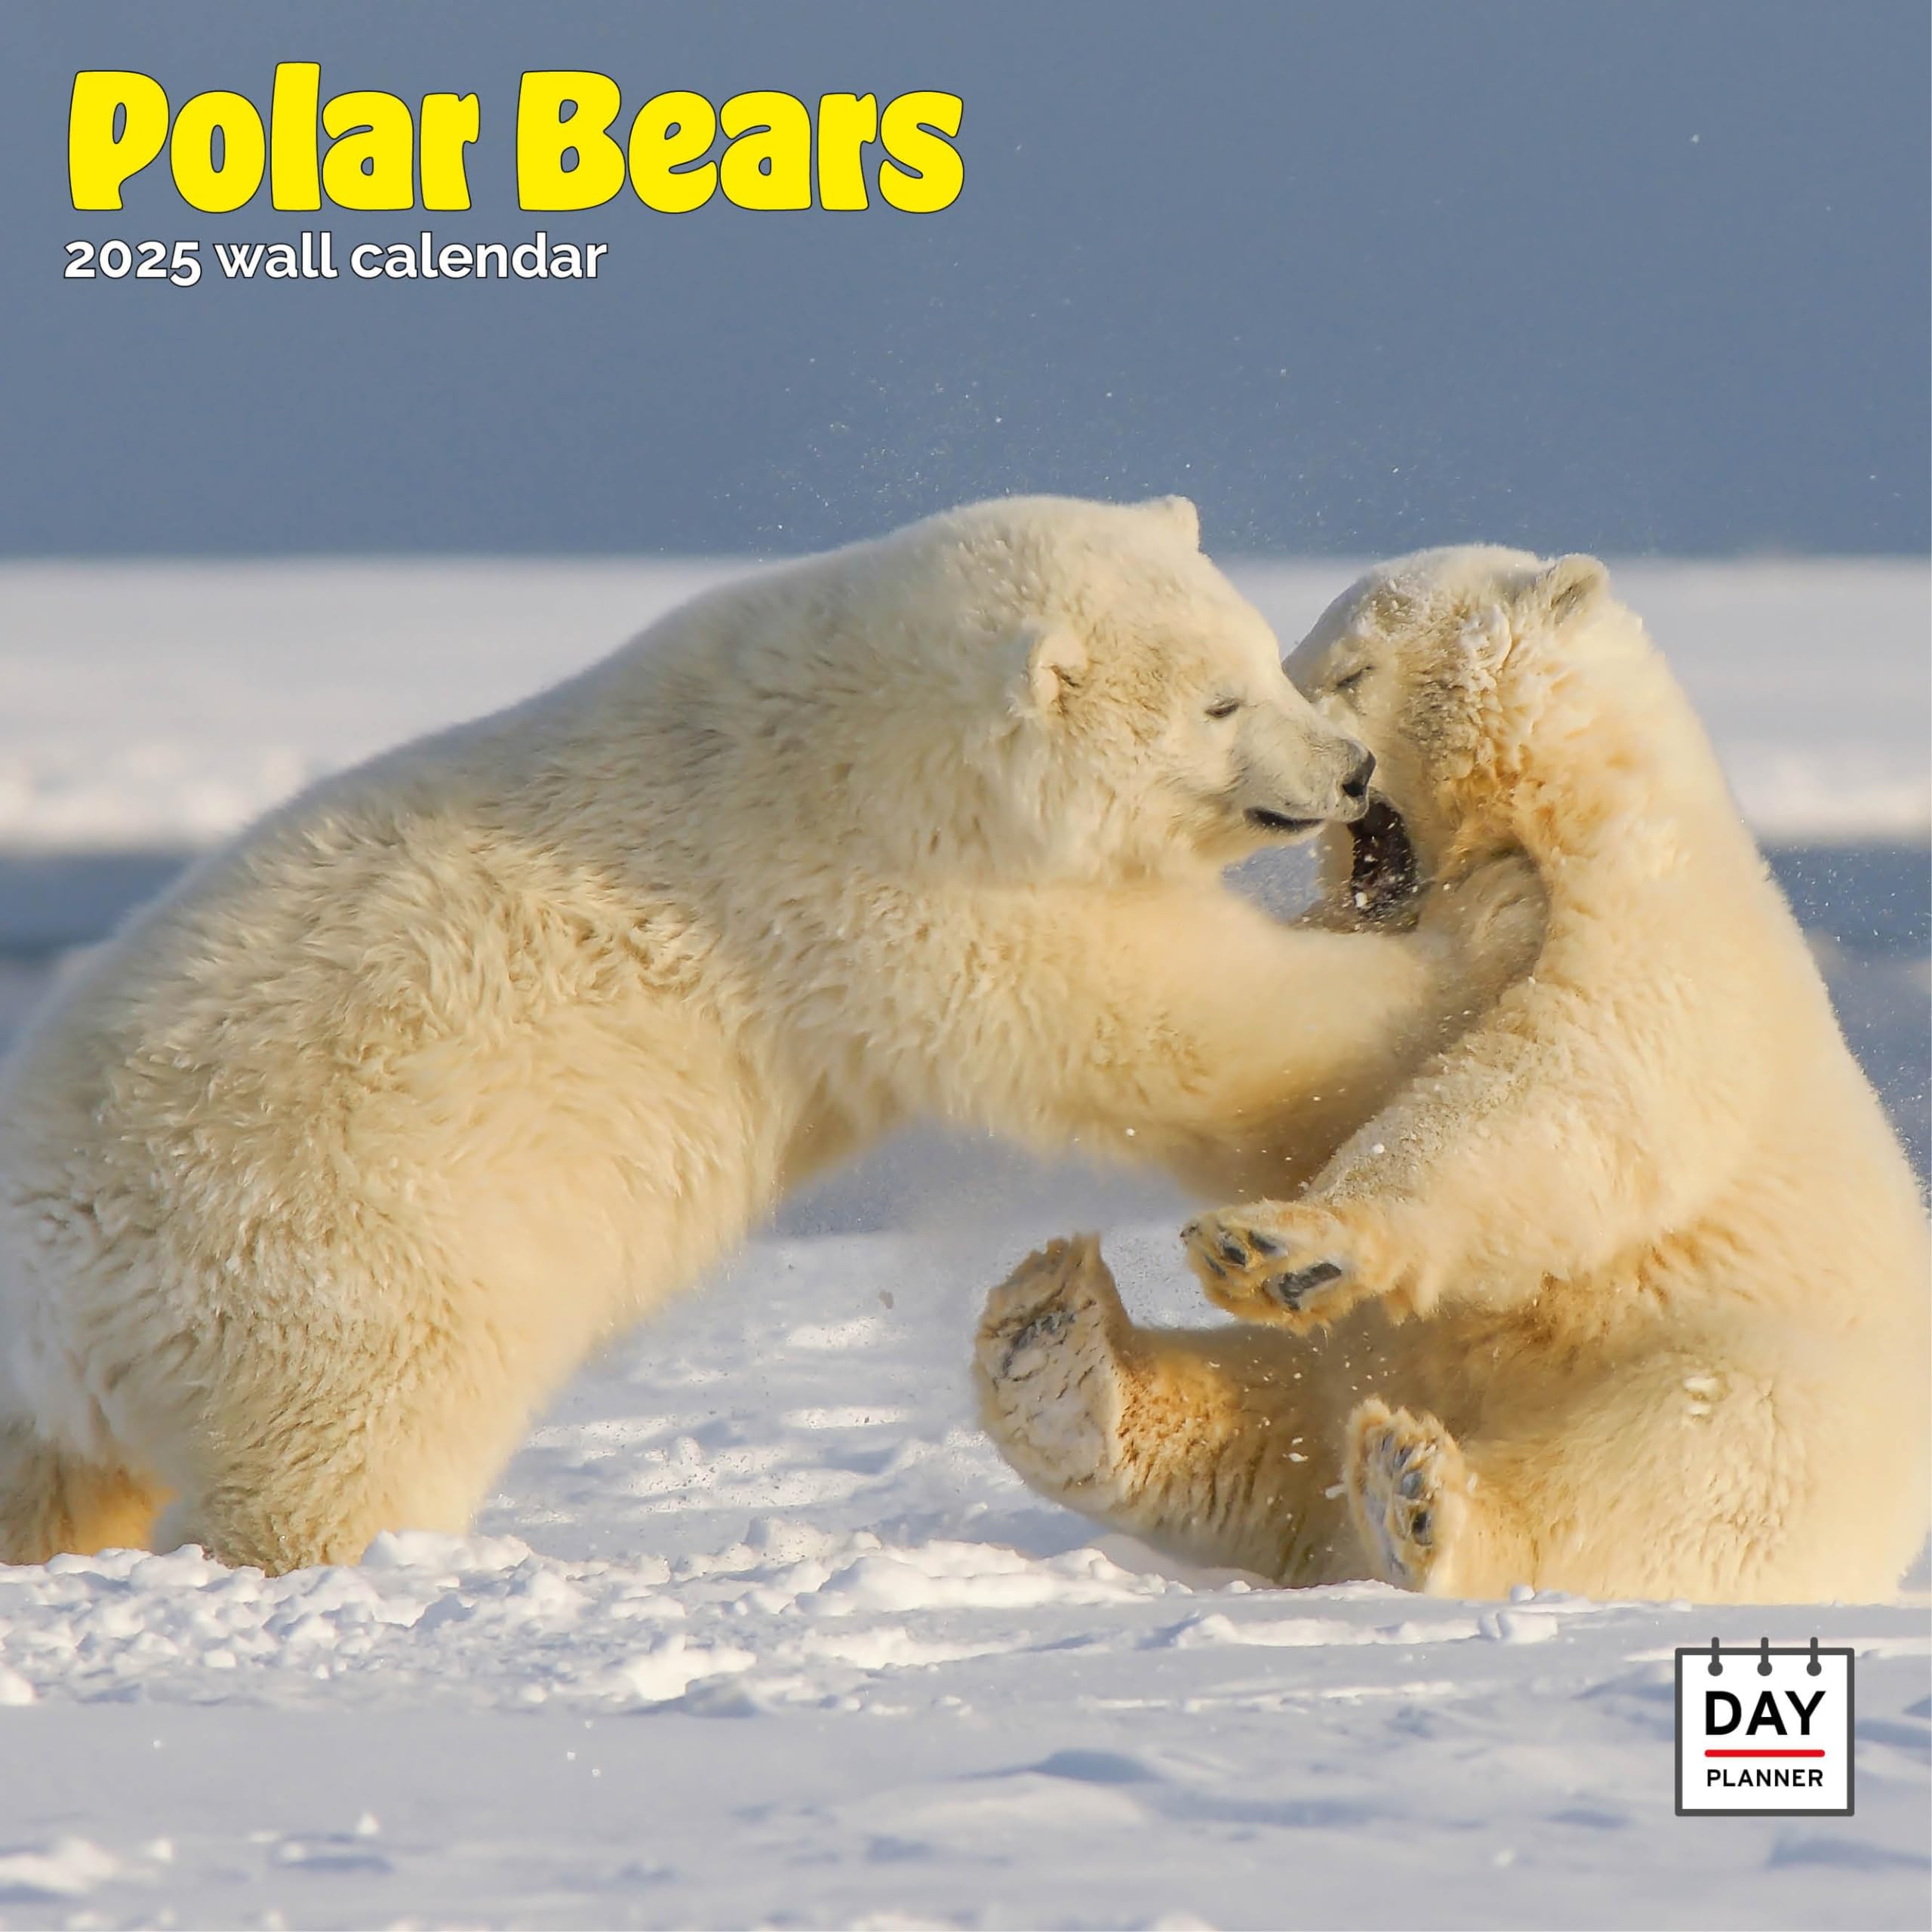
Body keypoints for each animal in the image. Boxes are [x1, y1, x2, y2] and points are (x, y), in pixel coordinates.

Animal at [0, 496, 1536, 1575]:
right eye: (1219, 701)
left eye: (1274, 665)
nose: (1350, 772)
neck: (855, 737)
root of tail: (58, 1270)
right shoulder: (878, 891)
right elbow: (1177, 1021)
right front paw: (1500, 917)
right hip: (340, 1264)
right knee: (344, 1451)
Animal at [975, 545, 1930, 1604]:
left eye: (1348, 673)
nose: (1324, 771)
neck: (1563, 806)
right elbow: (1306, 1073)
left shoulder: (1654, 923)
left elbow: (1562, 1083)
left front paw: (1281, 1241)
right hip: (1354, 1367)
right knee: (1268, 1423)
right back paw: (1055, 1348)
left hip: (1753, 1377)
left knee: (1679, 1471)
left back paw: (1420, 1499)